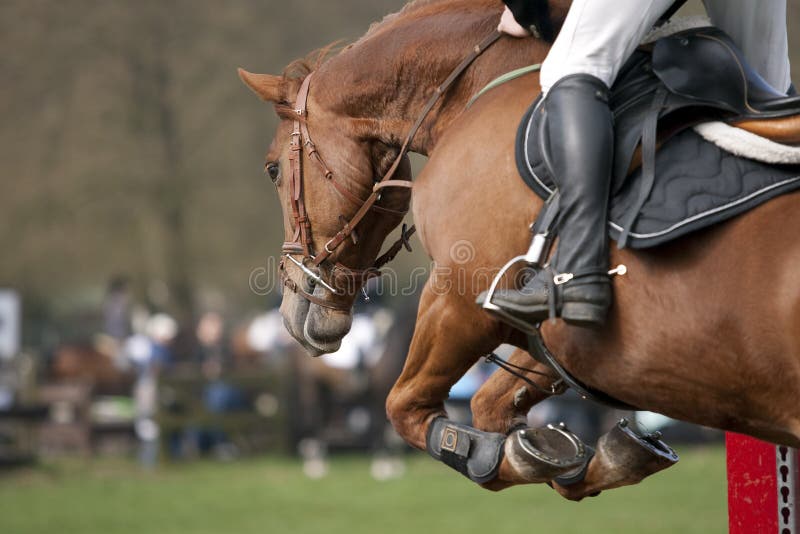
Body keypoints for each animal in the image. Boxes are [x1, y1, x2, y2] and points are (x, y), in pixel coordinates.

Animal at [239, 0, 800, 500]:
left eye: (272, 169)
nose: (293, 313)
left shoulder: (459, 301)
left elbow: (407, 409)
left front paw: (492, 453)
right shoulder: (558, 338)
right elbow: (493, 407)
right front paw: (586, 456)